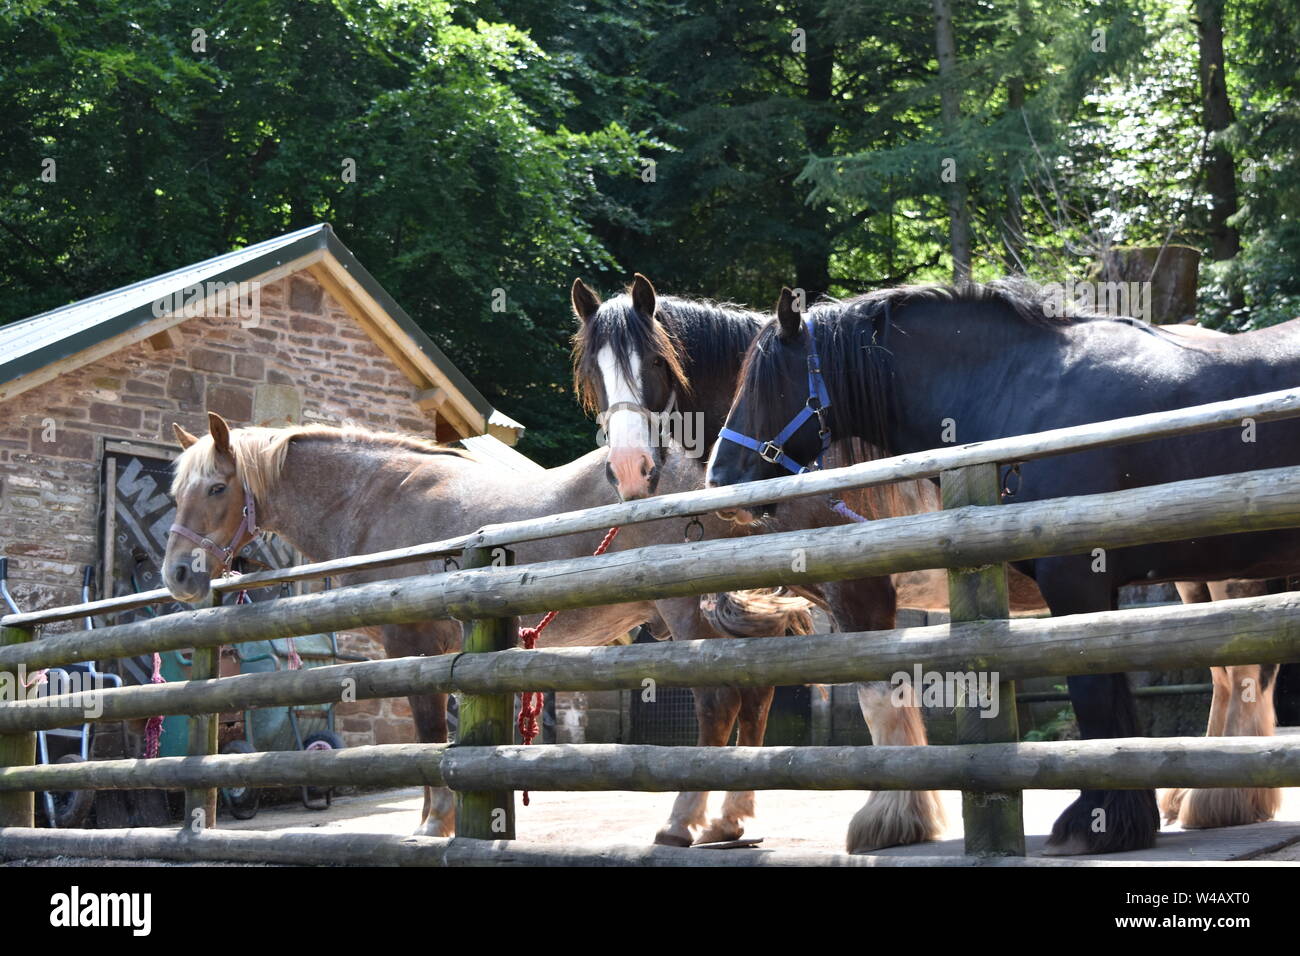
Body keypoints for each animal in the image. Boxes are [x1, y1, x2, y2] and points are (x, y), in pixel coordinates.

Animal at [161, 412, 810, 844]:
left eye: (217, 487)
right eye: (177, 491)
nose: (177, 573)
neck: (375, 499)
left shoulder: (413, 641)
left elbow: (428, 733)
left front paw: (434, 822)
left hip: (683, 612)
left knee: (719, 701)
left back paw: (681, 822)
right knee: (756, 689)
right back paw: (729, 819)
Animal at [572, 273, 1045, 852]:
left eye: (658, 363)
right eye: (591, 374)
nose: (628, 469)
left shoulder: (861, 593)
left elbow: (878, 701)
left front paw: (894, 817)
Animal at [707, 278, 1300, 854]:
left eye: (764, 382)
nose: (719, 478)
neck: (1025, 393)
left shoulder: (1075, 581)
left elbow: (1094, 694)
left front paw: (1099, 822)